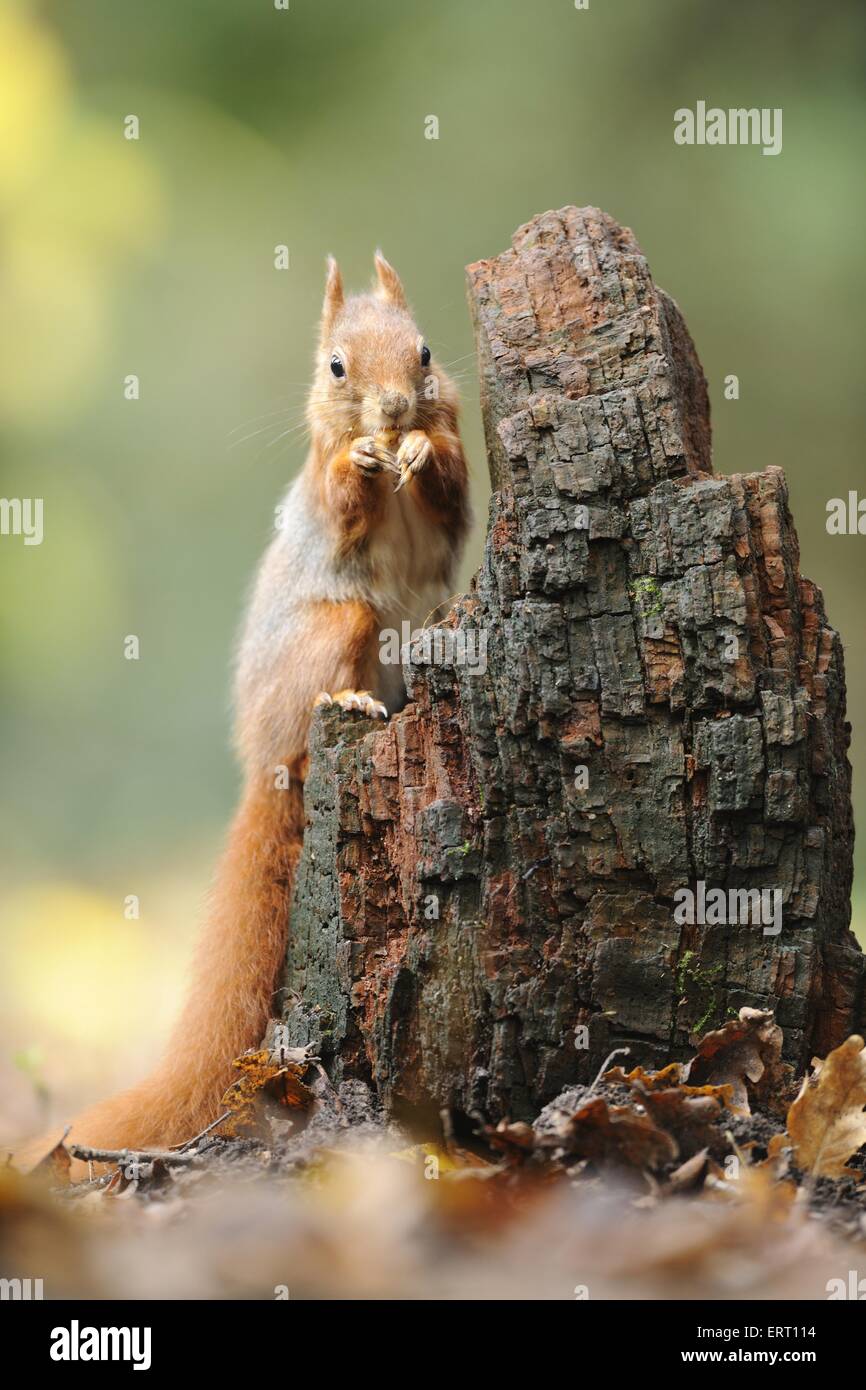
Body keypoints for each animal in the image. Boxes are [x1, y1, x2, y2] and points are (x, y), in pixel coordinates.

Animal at [16, 252, 470, 1170]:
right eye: (335, 366)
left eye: (426, 351)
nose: (393, 409)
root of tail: (263, 760)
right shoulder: (323, 486)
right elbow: (337, 496)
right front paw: (367, 455)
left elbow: (454, 475)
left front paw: (419, 445)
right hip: (338, 627)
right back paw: (346, 696)